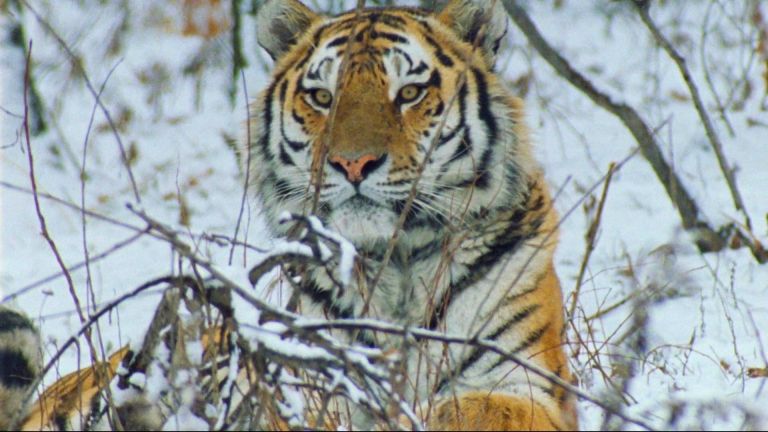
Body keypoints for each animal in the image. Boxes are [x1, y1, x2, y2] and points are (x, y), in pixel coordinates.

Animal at [0, 0, 578, 430]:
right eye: (322, 97)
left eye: (410, 93)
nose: (352, 163)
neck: (397, 267)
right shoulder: (313, 389)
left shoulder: (525, 382)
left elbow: (476, 408)